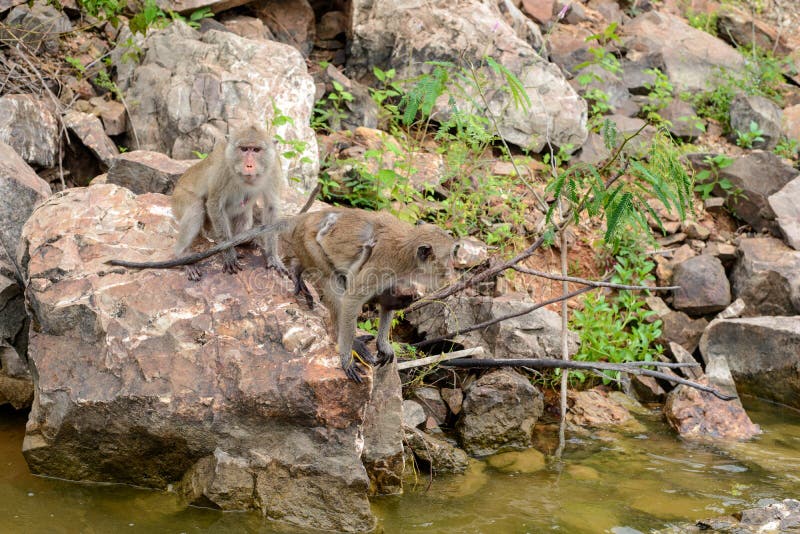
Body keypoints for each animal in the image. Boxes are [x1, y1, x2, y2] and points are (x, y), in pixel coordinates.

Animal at [168, 122, 285, 280]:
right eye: (244, 149)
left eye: (256, 150)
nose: (249, 165)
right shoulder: (223, 168)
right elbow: (214, 204)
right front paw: (229, 254)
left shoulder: (274, 168)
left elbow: (271, 207)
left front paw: (272, 256)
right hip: (179, 199)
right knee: (196, 207)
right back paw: (184, 256)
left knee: (244, 214)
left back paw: (246, 240)